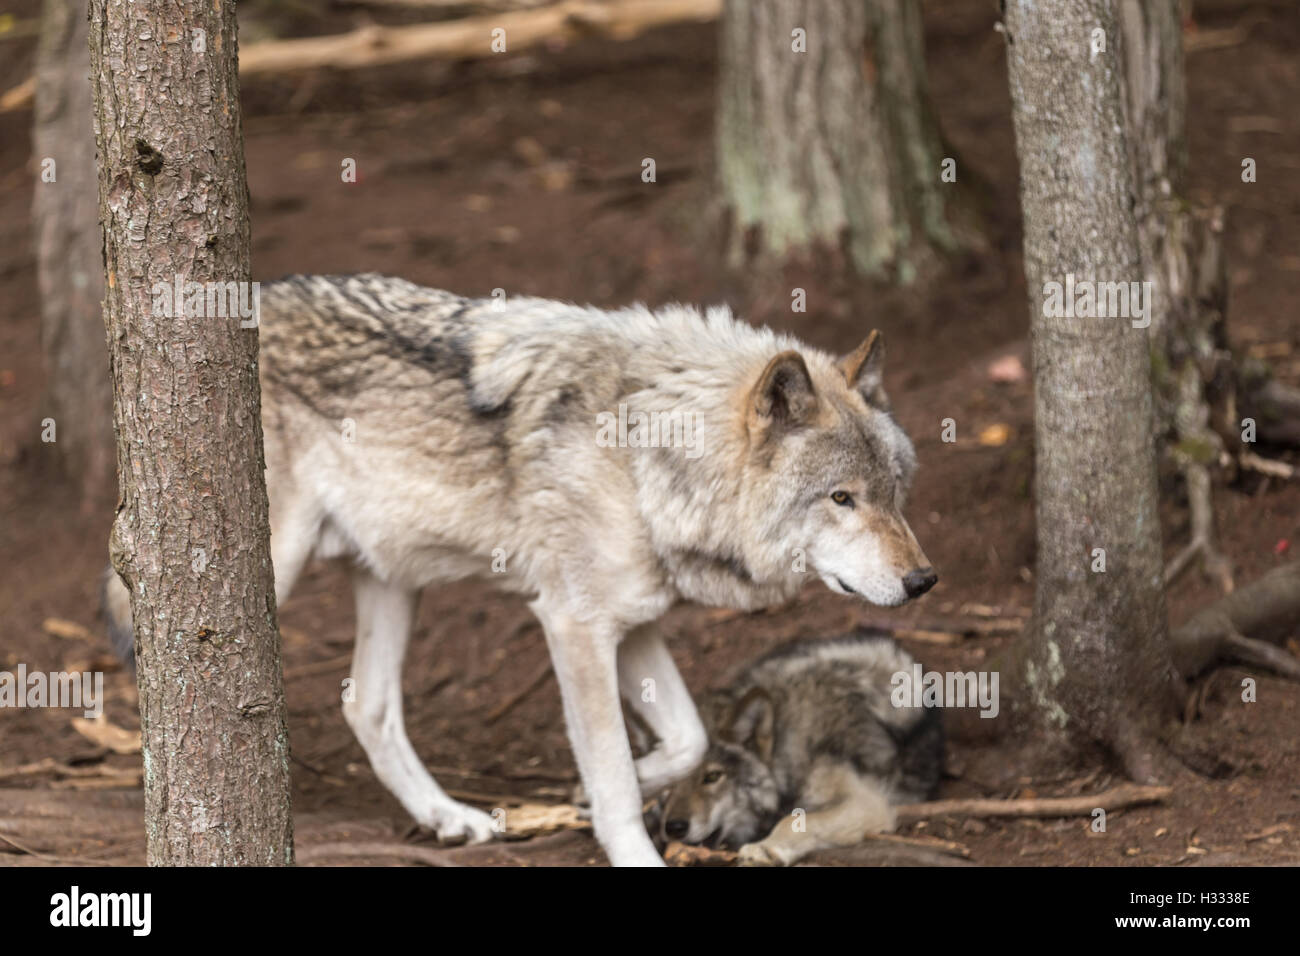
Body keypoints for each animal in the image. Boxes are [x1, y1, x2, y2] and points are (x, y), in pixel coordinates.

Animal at [660, 631, 943, 866]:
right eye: (668, 785)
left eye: (713, 776)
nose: (674, 827)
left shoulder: (865, 801)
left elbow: (794, 820)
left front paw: (765, 848)